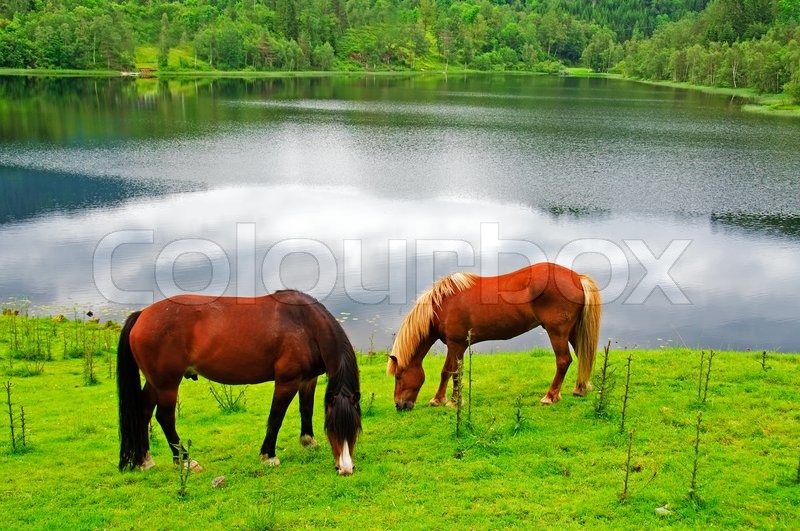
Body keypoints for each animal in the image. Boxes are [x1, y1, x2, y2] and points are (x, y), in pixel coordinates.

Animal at [117, 290, 361, 475]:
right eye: (333, 429)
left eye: (355, 429)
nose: (345, 469)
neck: (306, 323)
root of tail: (142, 314)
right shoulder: (287, 381)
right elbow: (276, 417)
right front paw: (268, 455)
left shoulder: (308, 379)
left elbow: (306, 410)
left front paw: (308, 441)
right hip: (167, 383)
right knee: (165, 418)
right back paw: (186, 461)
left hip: (155, 382)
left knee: (144, 412)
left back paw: (145, 461)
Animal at [387, 262, 602, 410]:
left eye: (398, 376)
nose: (399, 405)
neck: (442, 305)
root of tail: (578, 277)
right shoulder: (460, 346)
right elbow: (455, 372)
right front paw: (449, 399)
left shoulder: (455, 344)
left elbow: (449, 371)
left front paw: (446, 400)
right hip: (573, 331)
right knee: (583, 356)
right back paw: (581, 388)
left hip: (557, 332)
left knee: (564, 361)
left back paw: (550, 396)